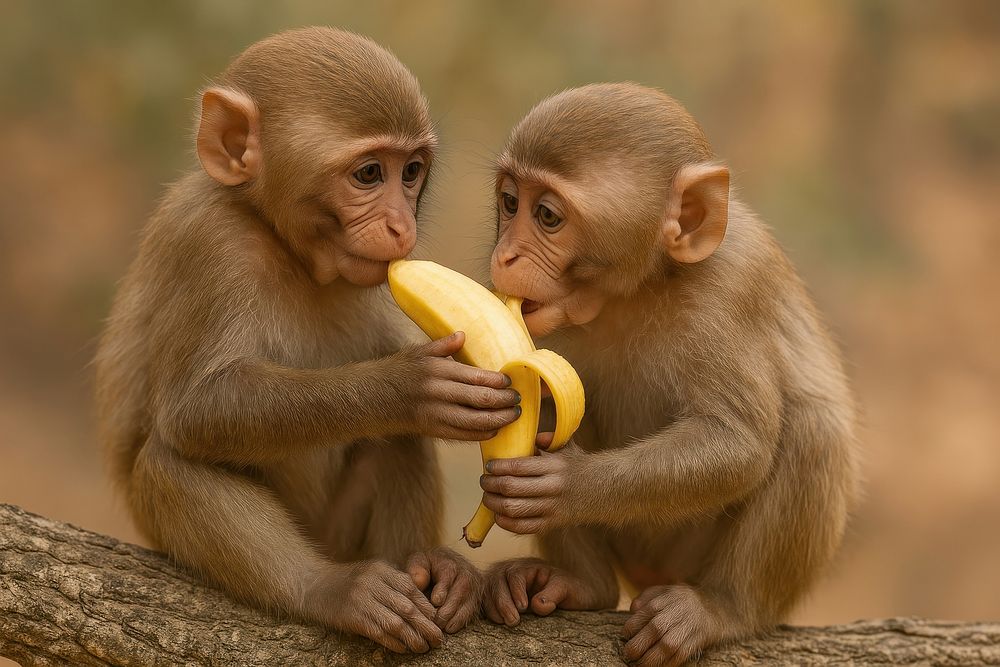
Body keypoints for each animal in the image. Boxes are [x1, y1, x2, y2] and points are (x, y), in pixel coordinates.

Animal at [94, 28, 524, 654]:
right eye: (369, 174)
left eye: (411, 172)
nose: (401, 226)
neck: (282, 242)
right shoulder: (211, 243)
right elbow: (197, 407)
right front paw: (406, 386)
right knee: (170, 461)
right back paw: (330, 590)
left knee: (397, 443)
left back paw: (429, 570)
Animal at [477, 83, 860, 666]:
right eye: (509, 203)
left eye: (546, 215)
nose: (505, 255)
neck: (635, 292)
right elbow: (536, 401)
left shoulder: (728, 289)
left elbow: (739, 442)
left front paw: (568, 485)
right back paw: (580, 584)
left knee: (813, 432)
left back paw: (724, 609)